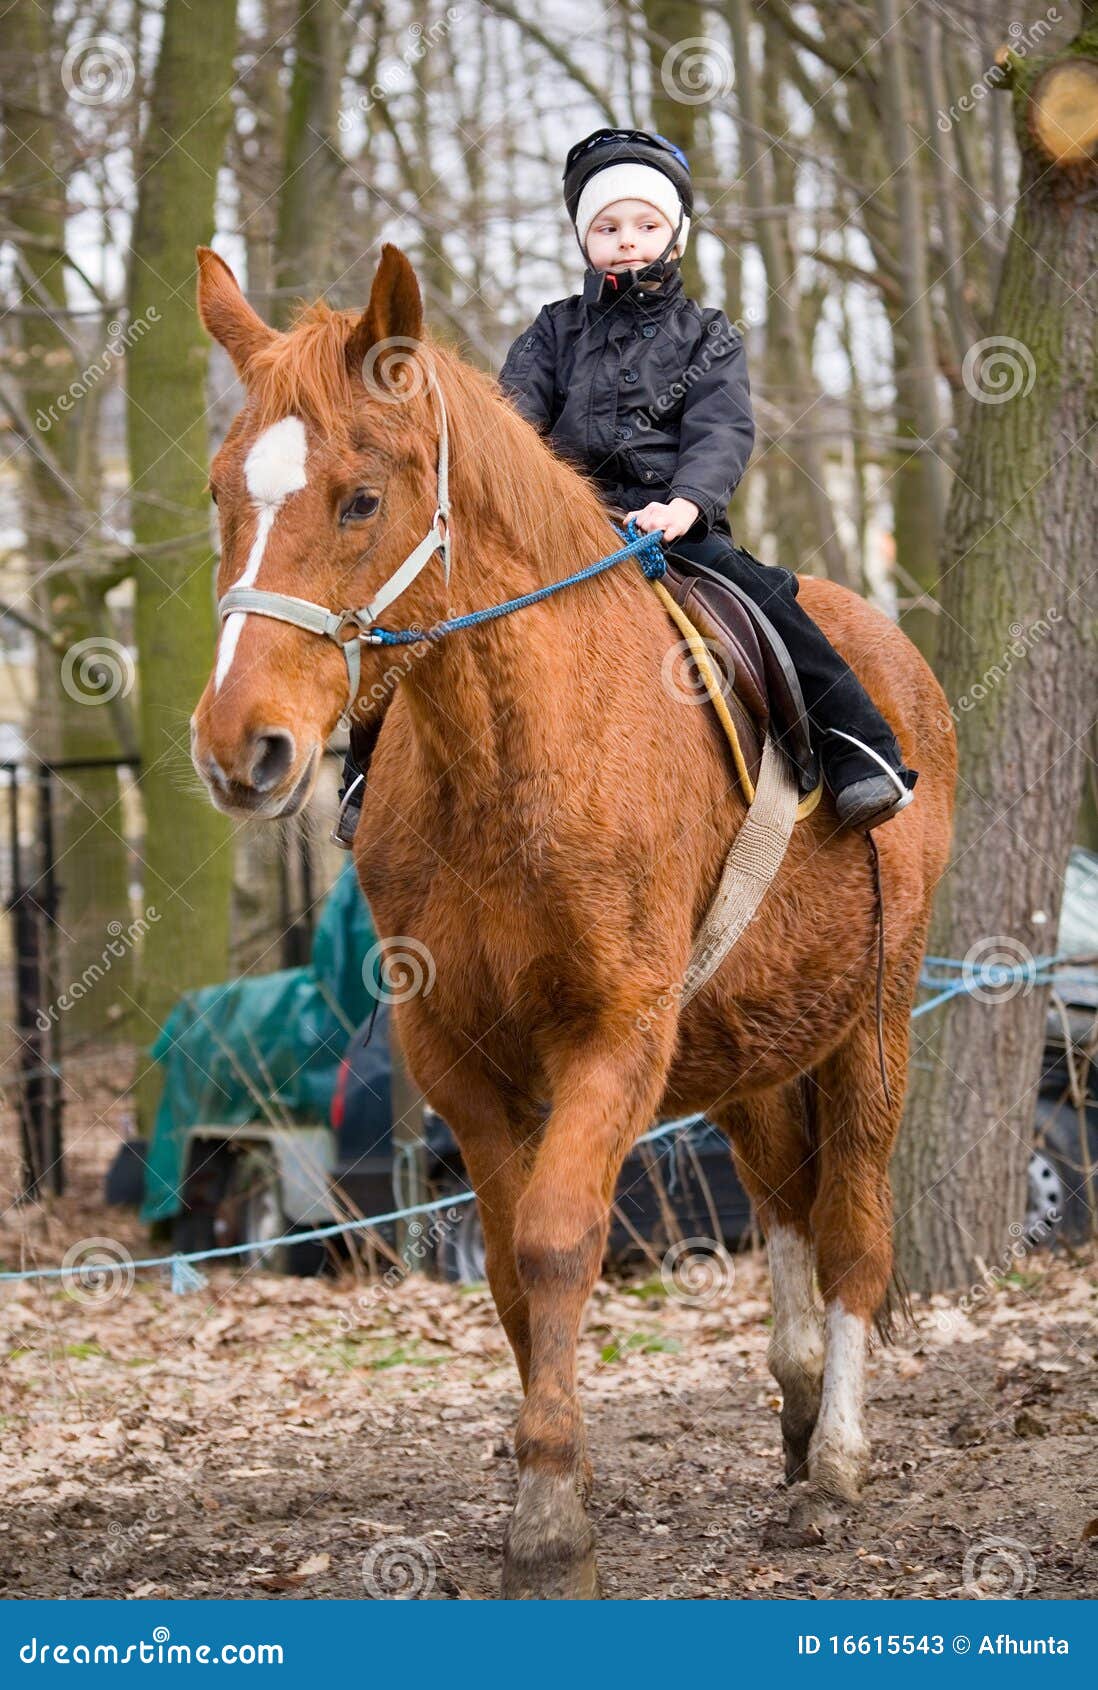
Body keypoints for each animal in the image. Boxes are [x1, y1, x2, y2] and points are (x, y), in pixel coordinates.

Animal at [190, 242, 956, 1599]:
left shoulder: (614, 1036)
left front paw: (550, 1522)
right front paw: (559, 1478)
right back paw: (797, 1411)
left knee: (855, 1231)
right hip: (755, 1050)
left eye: (359, 499)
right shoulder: (459, 1056)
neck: (511, 746)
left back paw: (837, 1465)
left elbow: (556, 1243)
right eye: (226, 493)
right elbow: (506, 1267)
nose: (243, 747)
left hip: (877, 1024)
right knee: (786, 1204)